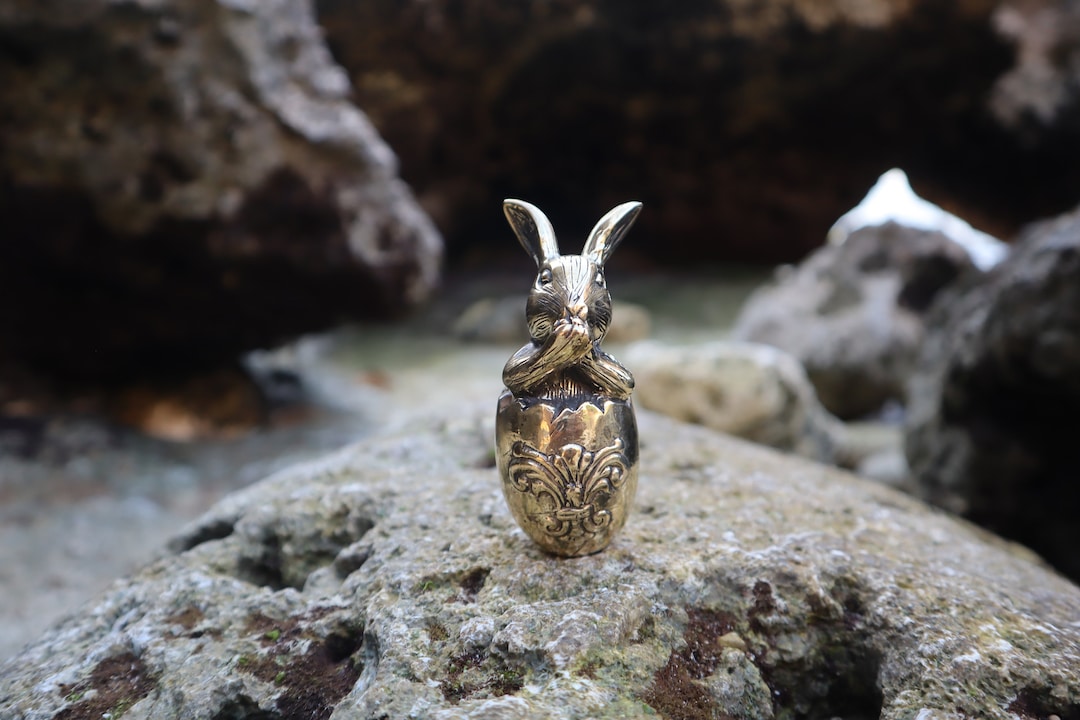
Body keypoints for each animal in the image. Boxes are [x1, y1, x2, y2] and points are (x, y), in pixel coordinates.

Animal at [495, 199, 641, 557]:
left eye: (600, 279)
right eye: (544, 278)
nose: (575, 309)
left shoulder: (622, 383)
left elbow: (625, 379)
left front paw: (579, 338)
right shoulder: (517, 368)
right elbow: (514, 373)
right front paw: (568, 338)